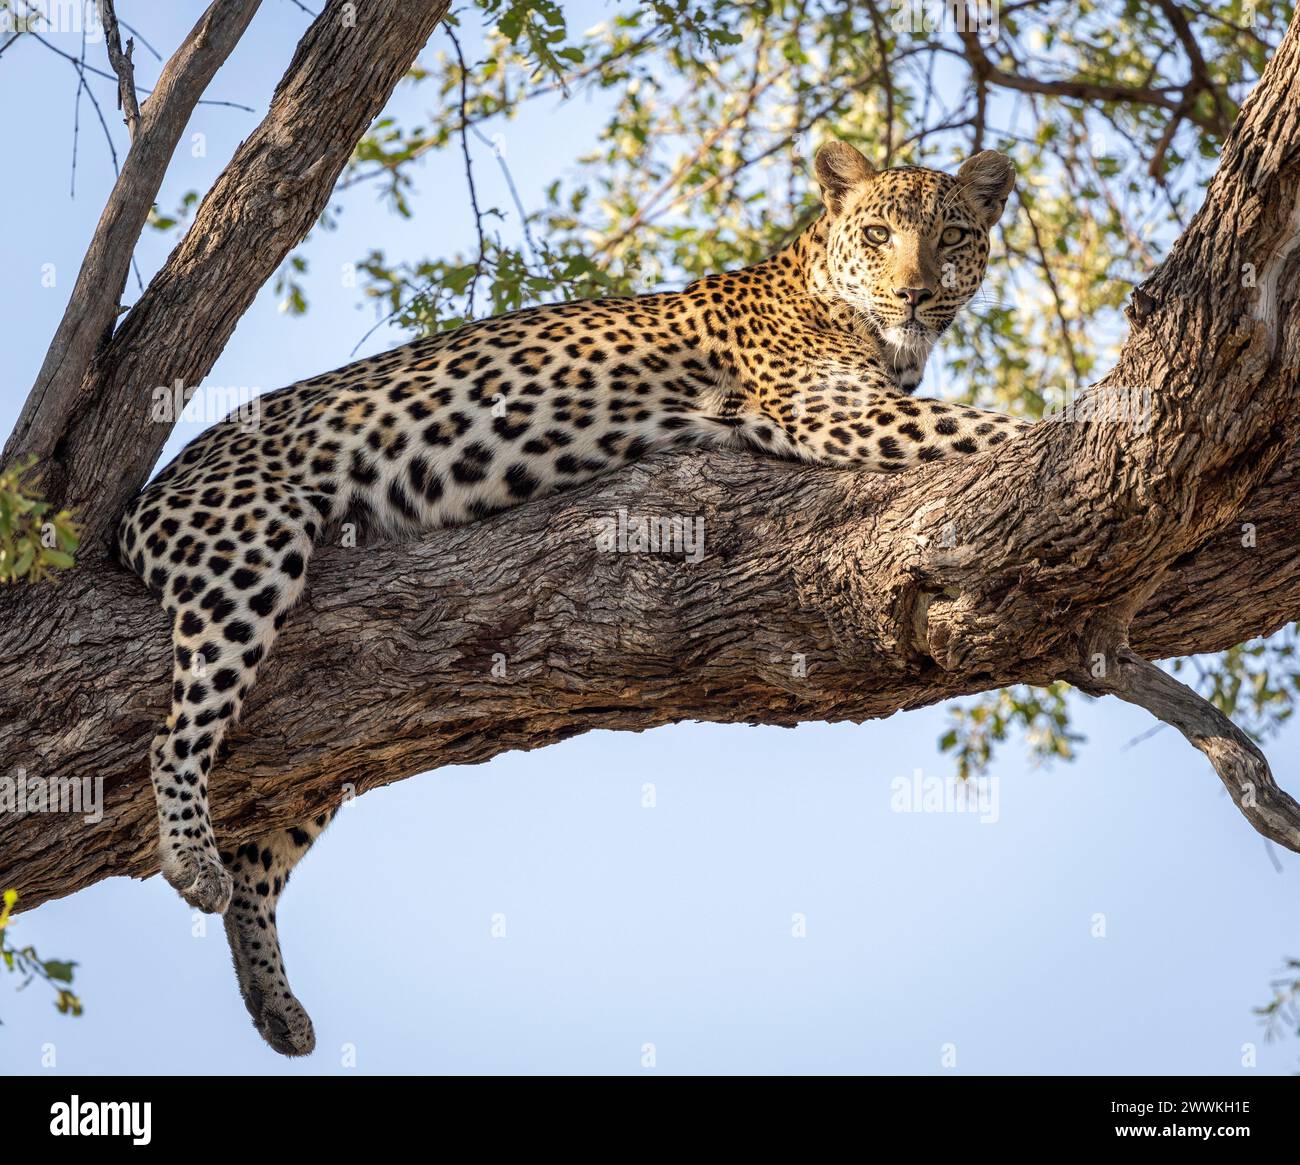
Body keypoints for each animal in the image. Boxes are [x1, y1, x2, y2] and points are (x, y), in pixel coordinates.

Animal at [116, 140, 1027, 1056]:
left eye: (951, 235)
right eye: (878, 235)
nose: (914, 292)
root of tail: (142, 499)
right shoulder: (836, 412)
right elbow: (994, 424)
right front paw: (1063, 420)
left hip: (337, 733)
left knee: (262, 856)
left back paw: (275, 1003)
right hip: (247, 546)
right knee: (176, 737)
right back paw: (192, 858)